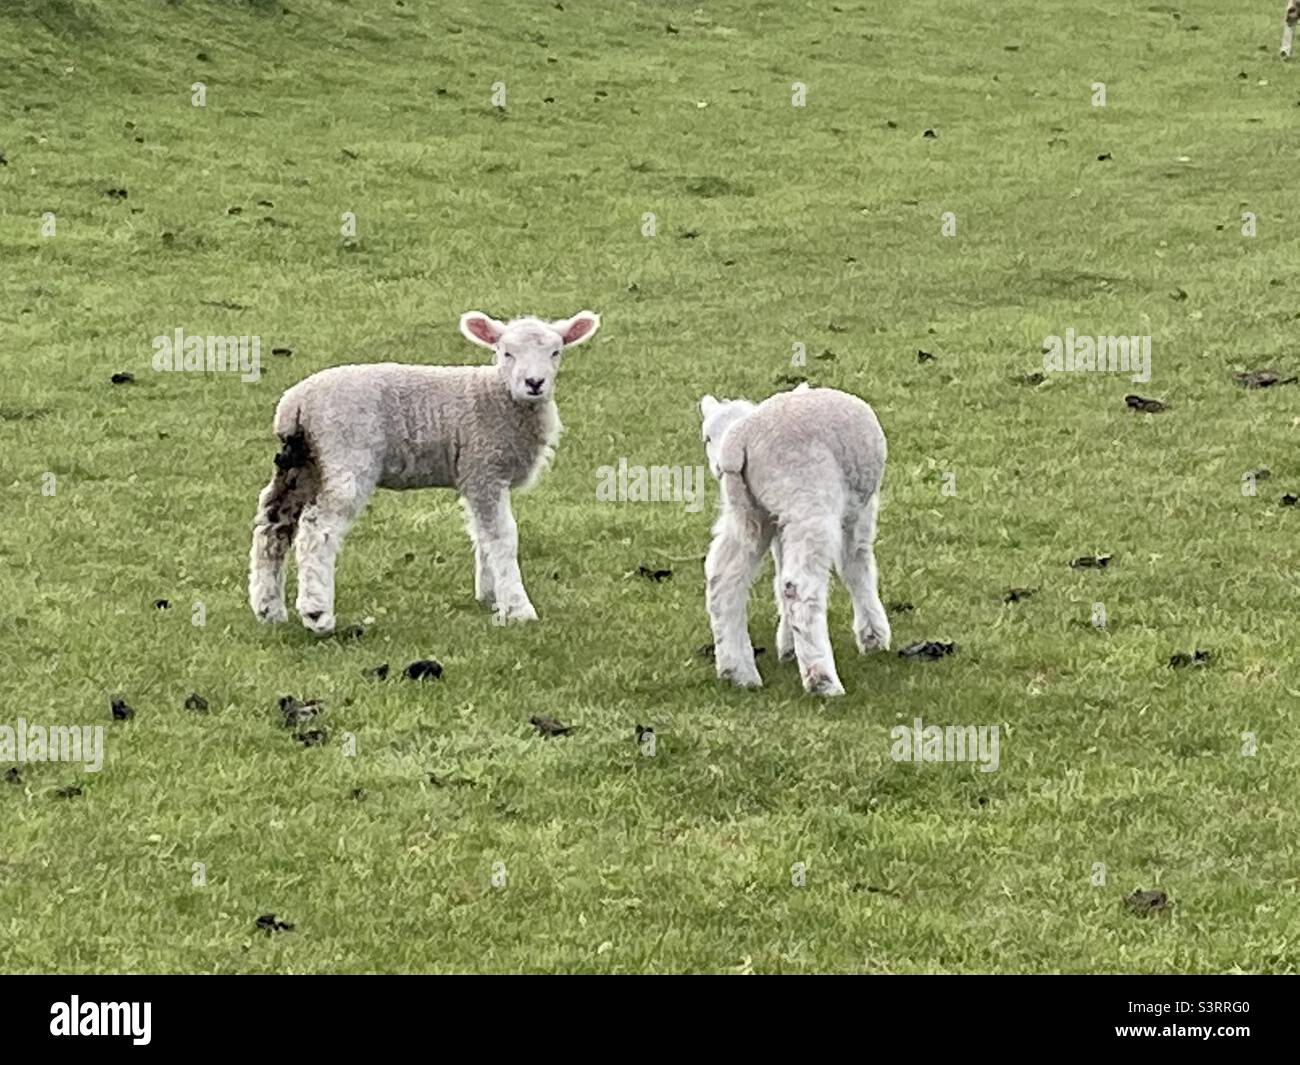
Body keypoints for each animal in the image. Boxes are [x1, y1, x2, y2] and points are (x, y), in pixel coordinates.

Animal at [248, 310, 601, 633]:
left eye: (555, 352)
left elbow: (481, 534)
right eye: (506, 352)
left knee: (273, 524)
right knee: (316, 530)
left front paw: (489, 595)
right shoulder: (484, 468)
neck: (496, 395)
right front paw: (517, 607)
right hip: (345, 455)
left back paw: (268, 609)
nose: (534, 383)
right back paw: (317, 613)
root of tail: (295, 404)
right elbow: (502, 536)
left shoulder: (473, 475)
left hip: (302, 465)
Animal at [699, 384, 890, 696]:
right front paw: (873, 635)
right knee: (799, 587)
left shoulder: (779, 522)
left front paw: (788, 645)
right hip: (808, 500)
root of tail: (739, 441)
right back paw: (822, 680)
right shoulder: (860, 510)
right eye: (707, 438)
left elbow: (779, 578)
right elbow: (856, 564)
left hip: (750, 511)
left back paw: (738, 671)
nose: (716, 466)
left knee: (724, 576)